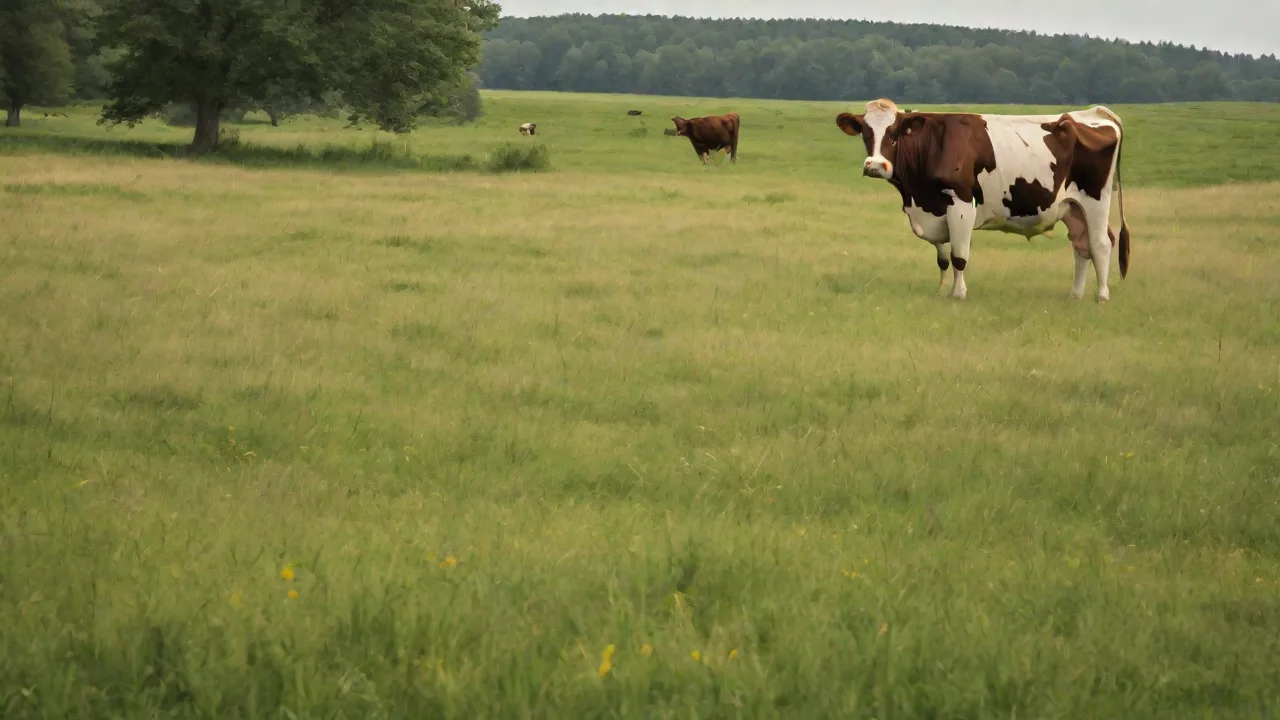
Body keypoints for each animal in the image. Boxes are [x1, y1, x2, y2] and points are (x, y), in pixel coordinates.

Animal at [835, 98, 1131, 302]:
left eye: (894, 134)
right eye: (865, 132)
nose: (875, 165)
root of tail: (1096, 113)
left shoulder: (961, 202)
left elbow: (959, 256)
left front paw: (958, 294)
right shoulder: (934, 208)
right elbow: (943, 258)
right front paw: (942, 290)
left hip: (1096, 200)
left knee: (1101, 244)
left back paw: (1102, 296)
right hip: (1072, 208)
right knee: (1081, 246)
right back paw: (1075, 296)